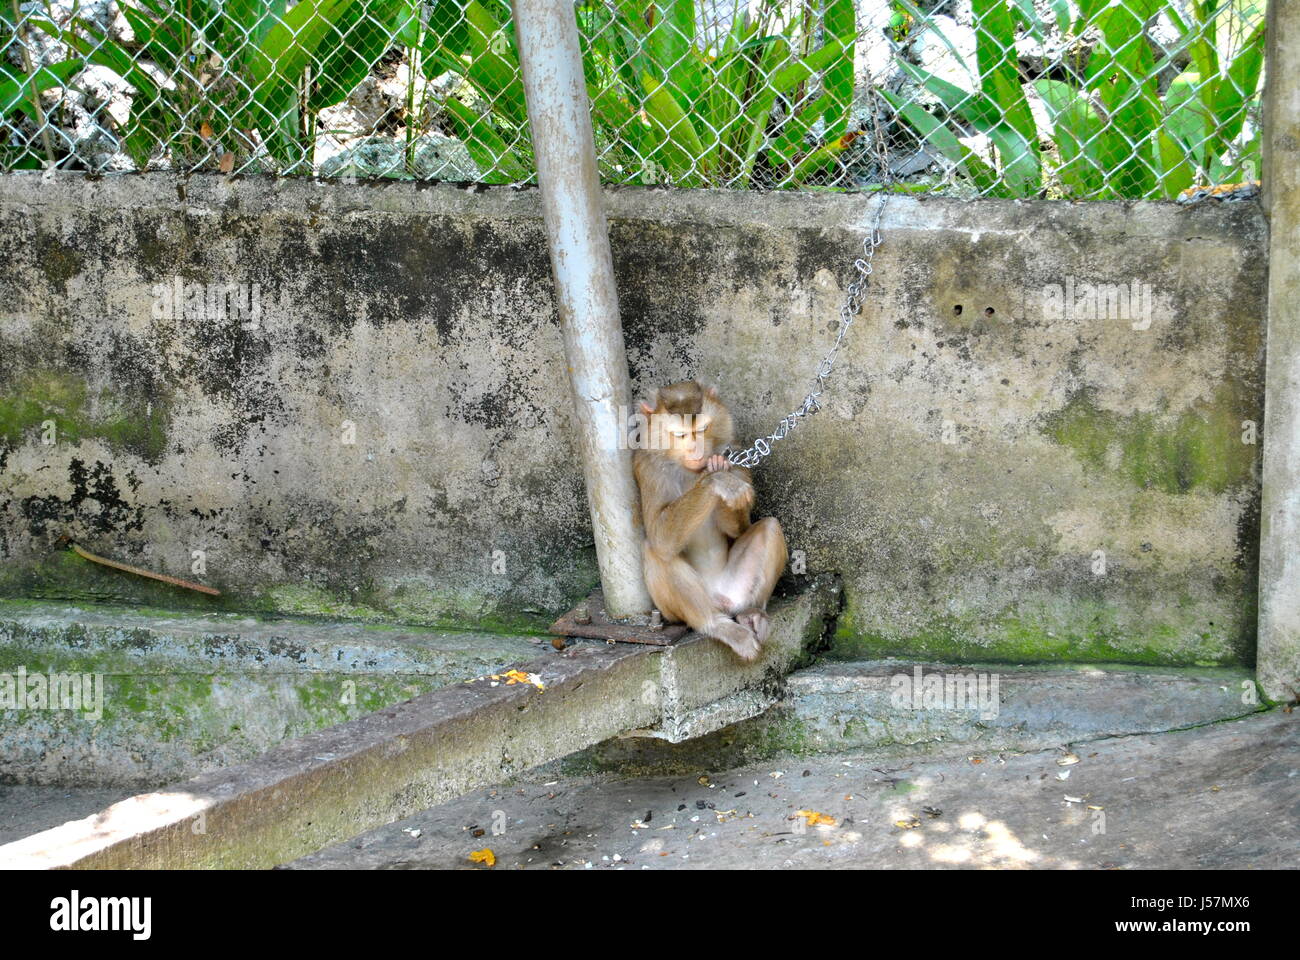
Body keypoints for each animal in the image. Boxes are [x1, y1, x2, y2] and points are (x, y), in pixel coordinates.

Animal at [632, 381, 788, 661]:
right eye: (680, 435)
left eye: (702, 429)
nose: (696, 450)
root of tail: (717, 598)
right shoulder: (649, 468)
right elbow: (659, 536)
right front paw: (717, 480)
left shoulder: (735, 452)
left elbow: (739, 530)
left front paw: (718, 466)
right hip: (678, 609)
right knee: (655, 550)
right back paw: (716, 625)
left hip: (735, 587)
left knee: (770, 526)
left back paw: (751, 613)